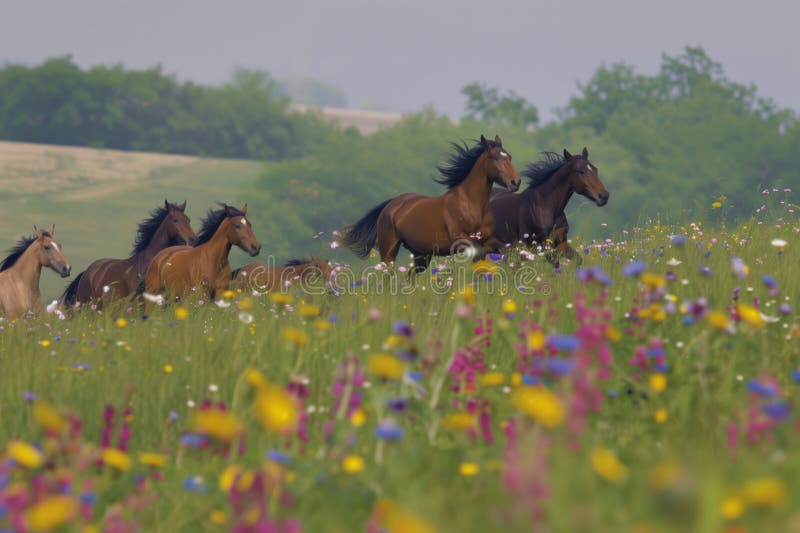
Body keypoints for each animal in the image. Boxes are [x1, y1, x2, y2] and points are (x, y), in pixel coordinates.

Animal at [340, 135, 520, 273]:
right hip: (389, 251)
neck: (471, 205)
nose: (515, 182)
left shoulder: (489, 240)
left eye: (510, 157)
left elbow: (502, 250)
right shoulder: (461, 239)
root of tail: (391, 205)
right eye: (495, 158)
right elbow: (480, 255)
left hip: (422, 255)